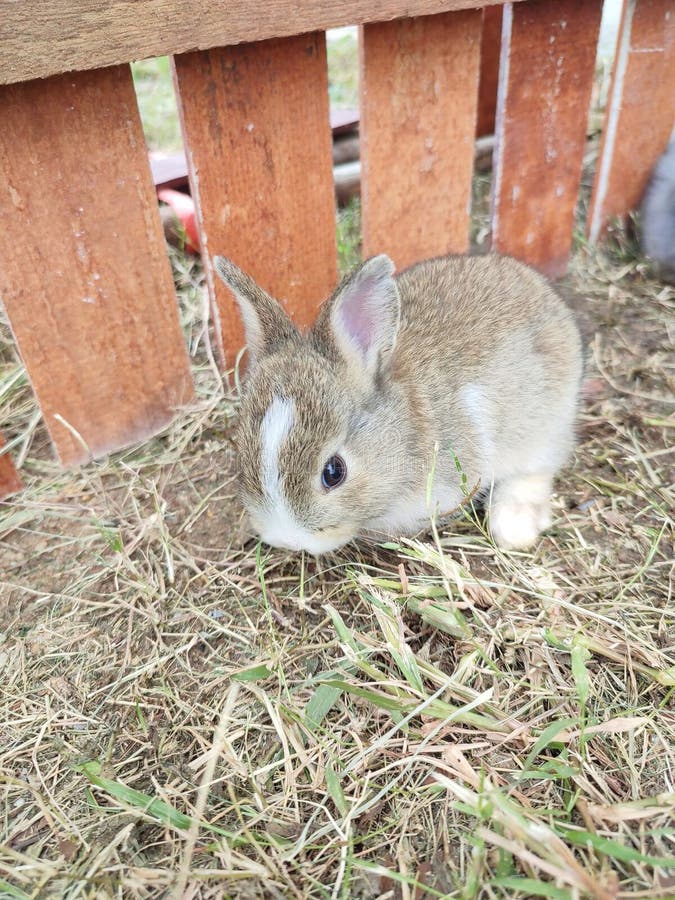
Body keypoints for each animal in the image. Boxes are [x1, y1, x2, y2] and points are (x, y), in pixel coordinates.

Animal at [213, 253, 583, 555]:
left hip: (544, 426)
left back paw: (514, 527)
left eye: (334, 472)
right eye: (242, 452)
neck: (403, 434)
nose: (286, 539)